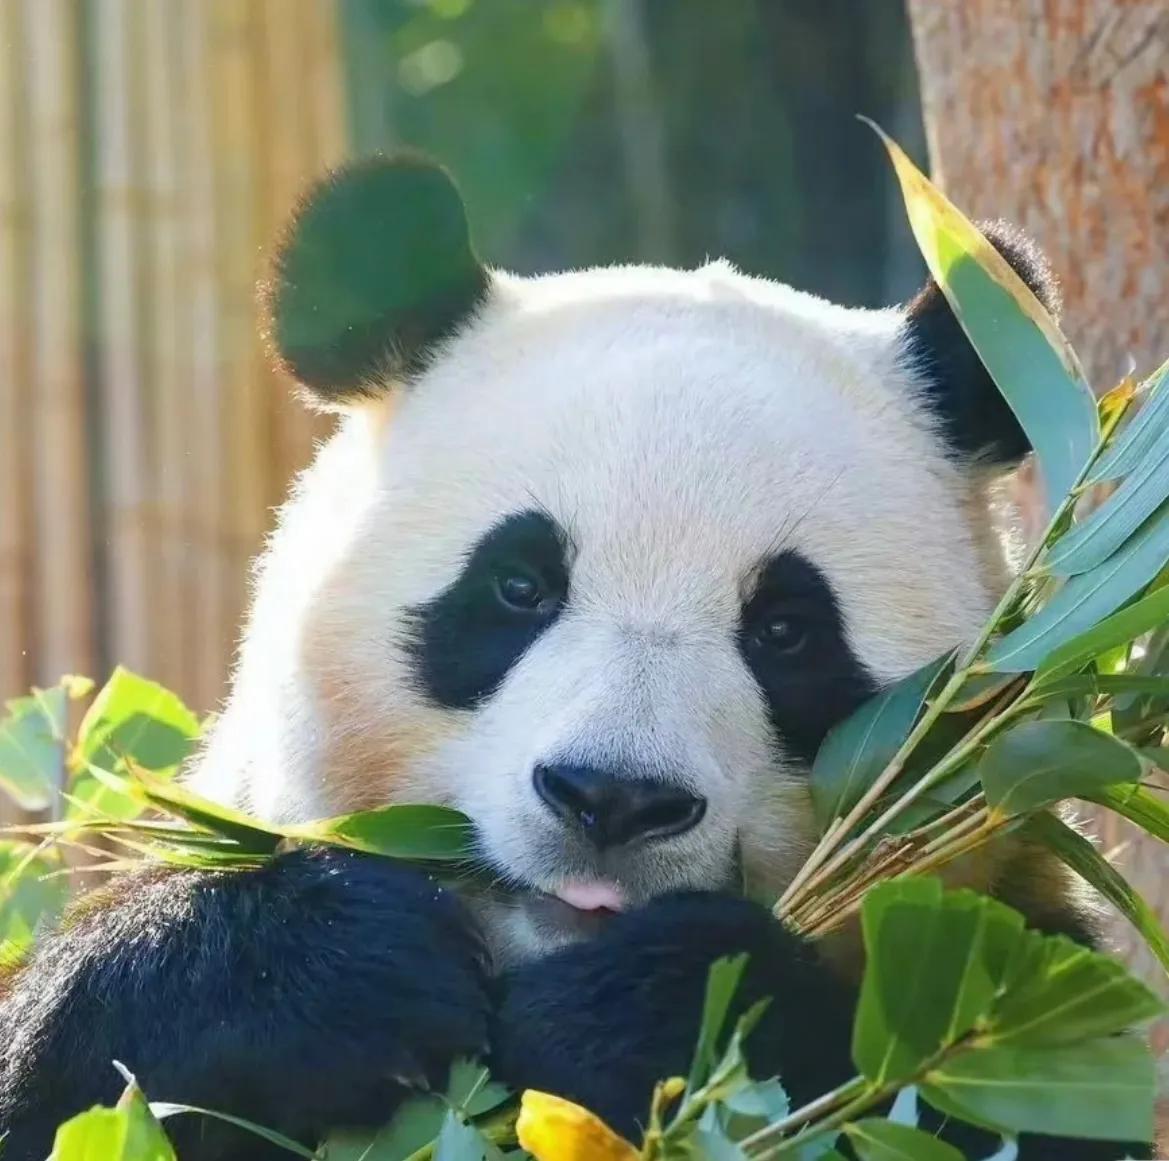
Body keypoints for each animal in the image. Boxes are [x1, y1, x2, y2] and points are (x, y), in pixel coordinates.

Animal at [0, 152, 1149, 1161]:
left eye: (785, 631)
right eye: (519, 586)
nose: (612, 799)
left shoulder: (1028, 985)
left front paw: (649, 1011)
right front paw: (333, 973)